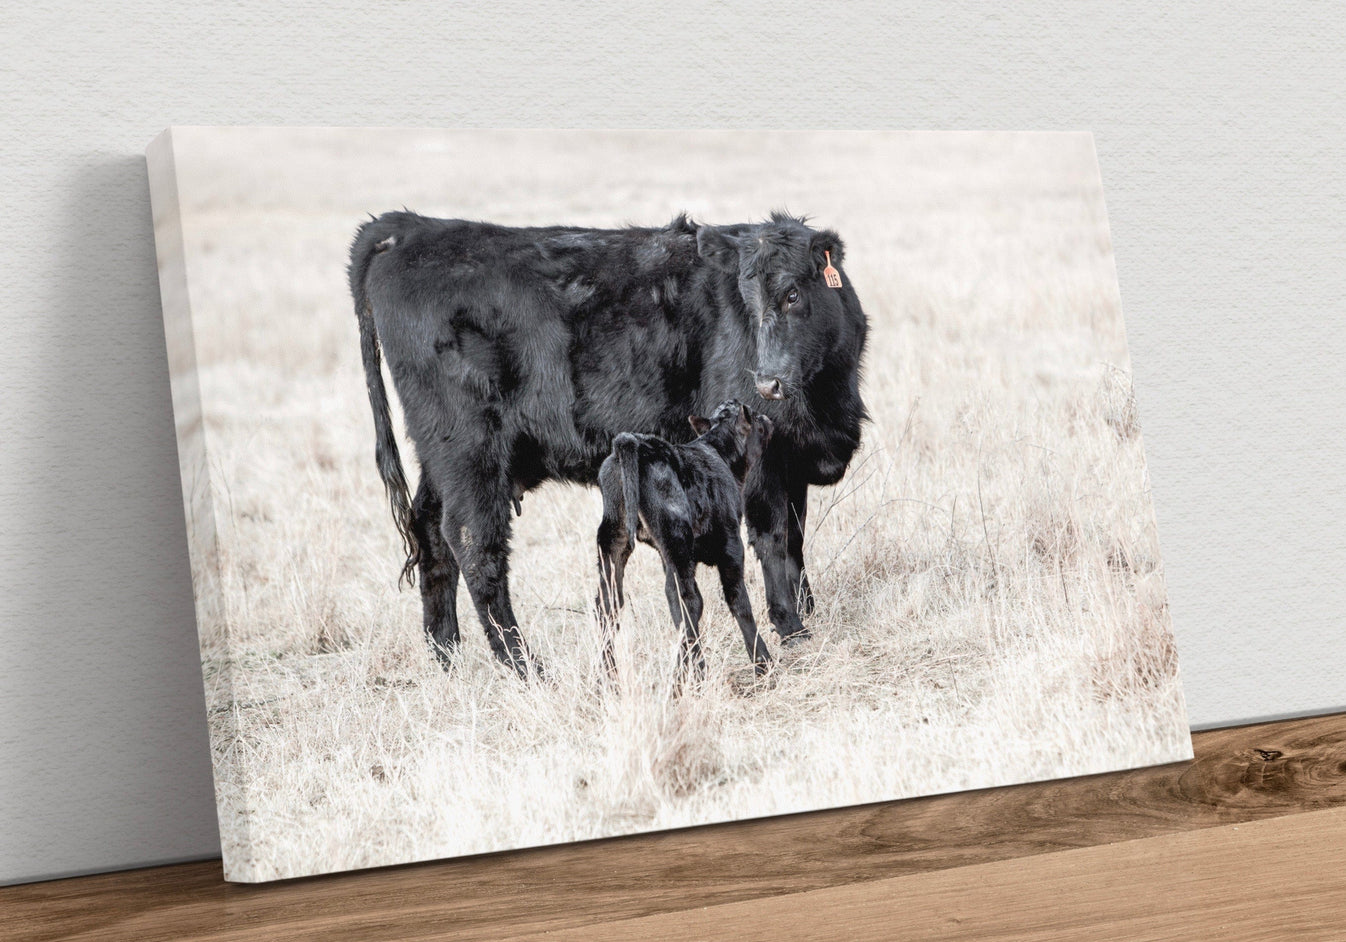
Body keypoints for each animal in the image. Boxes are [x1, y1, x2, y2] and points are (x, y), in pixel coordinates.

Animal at [596, 399, 775, 685]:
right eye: (756, 418)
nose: (769, 420)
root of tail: (633, 441)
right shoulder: (731, 543)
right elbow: (738, 599)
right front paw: (763, 665)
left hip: (617, 539)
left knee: (609, 603)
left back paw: (610, 678)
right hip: (676, 535)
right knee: (683, 598)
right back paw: (696, 674)